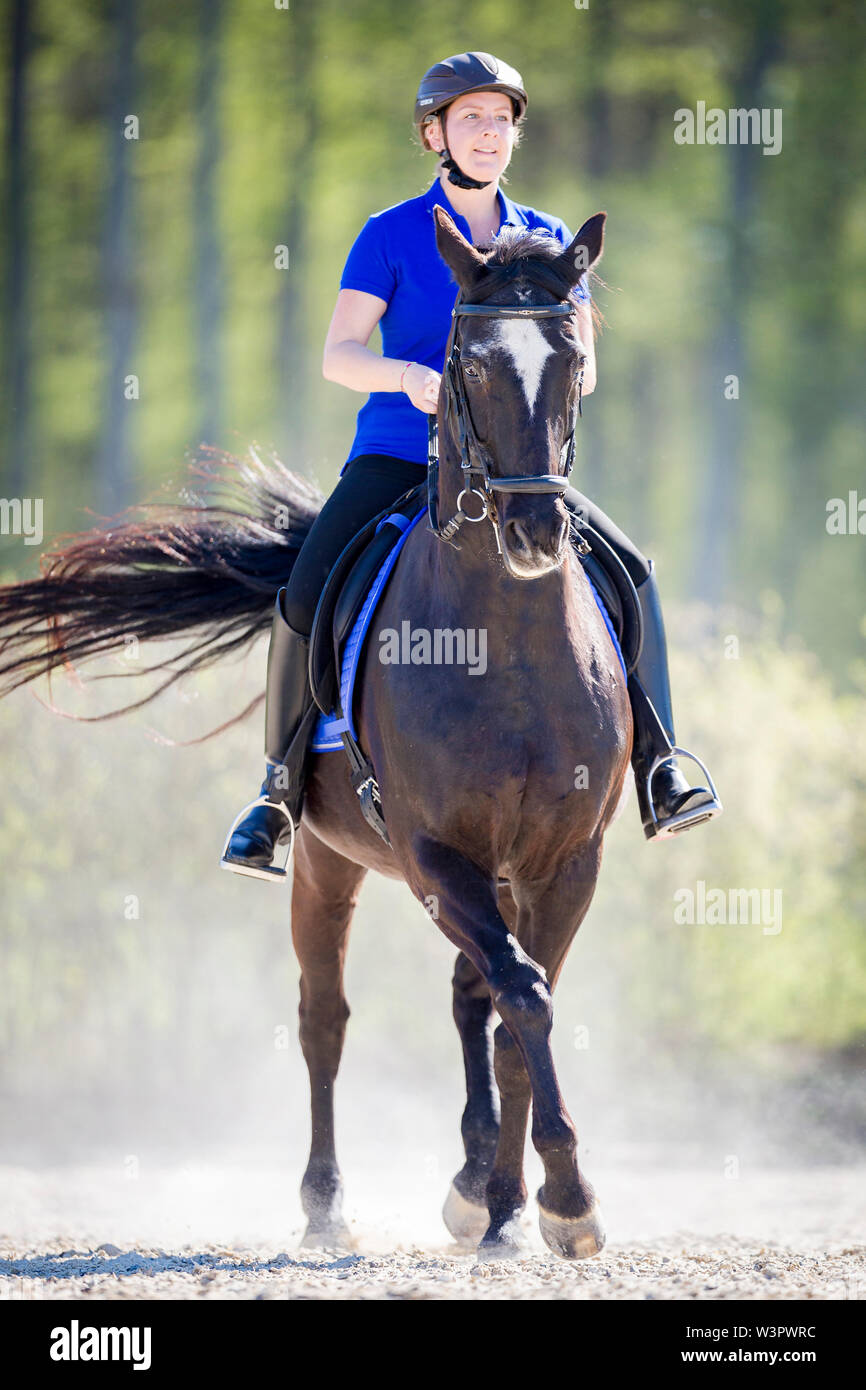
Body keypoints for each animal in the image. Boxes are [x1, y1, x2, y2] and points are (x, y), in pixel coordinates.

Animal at [0, 207, 631, 1259]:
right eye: (464, 361)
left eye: (573, 354)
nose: (536, 533)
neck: (503, 640)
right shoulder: (431, 852)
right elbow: (522, 995)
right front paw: (569, 1199)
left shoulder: (564, 859)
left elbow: (519, 1005)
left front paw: (517, 1203)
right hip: (328, 862)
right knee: (325, 1017)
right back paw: (328, 1205)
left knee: (469, 996)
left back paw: (476, 1185)